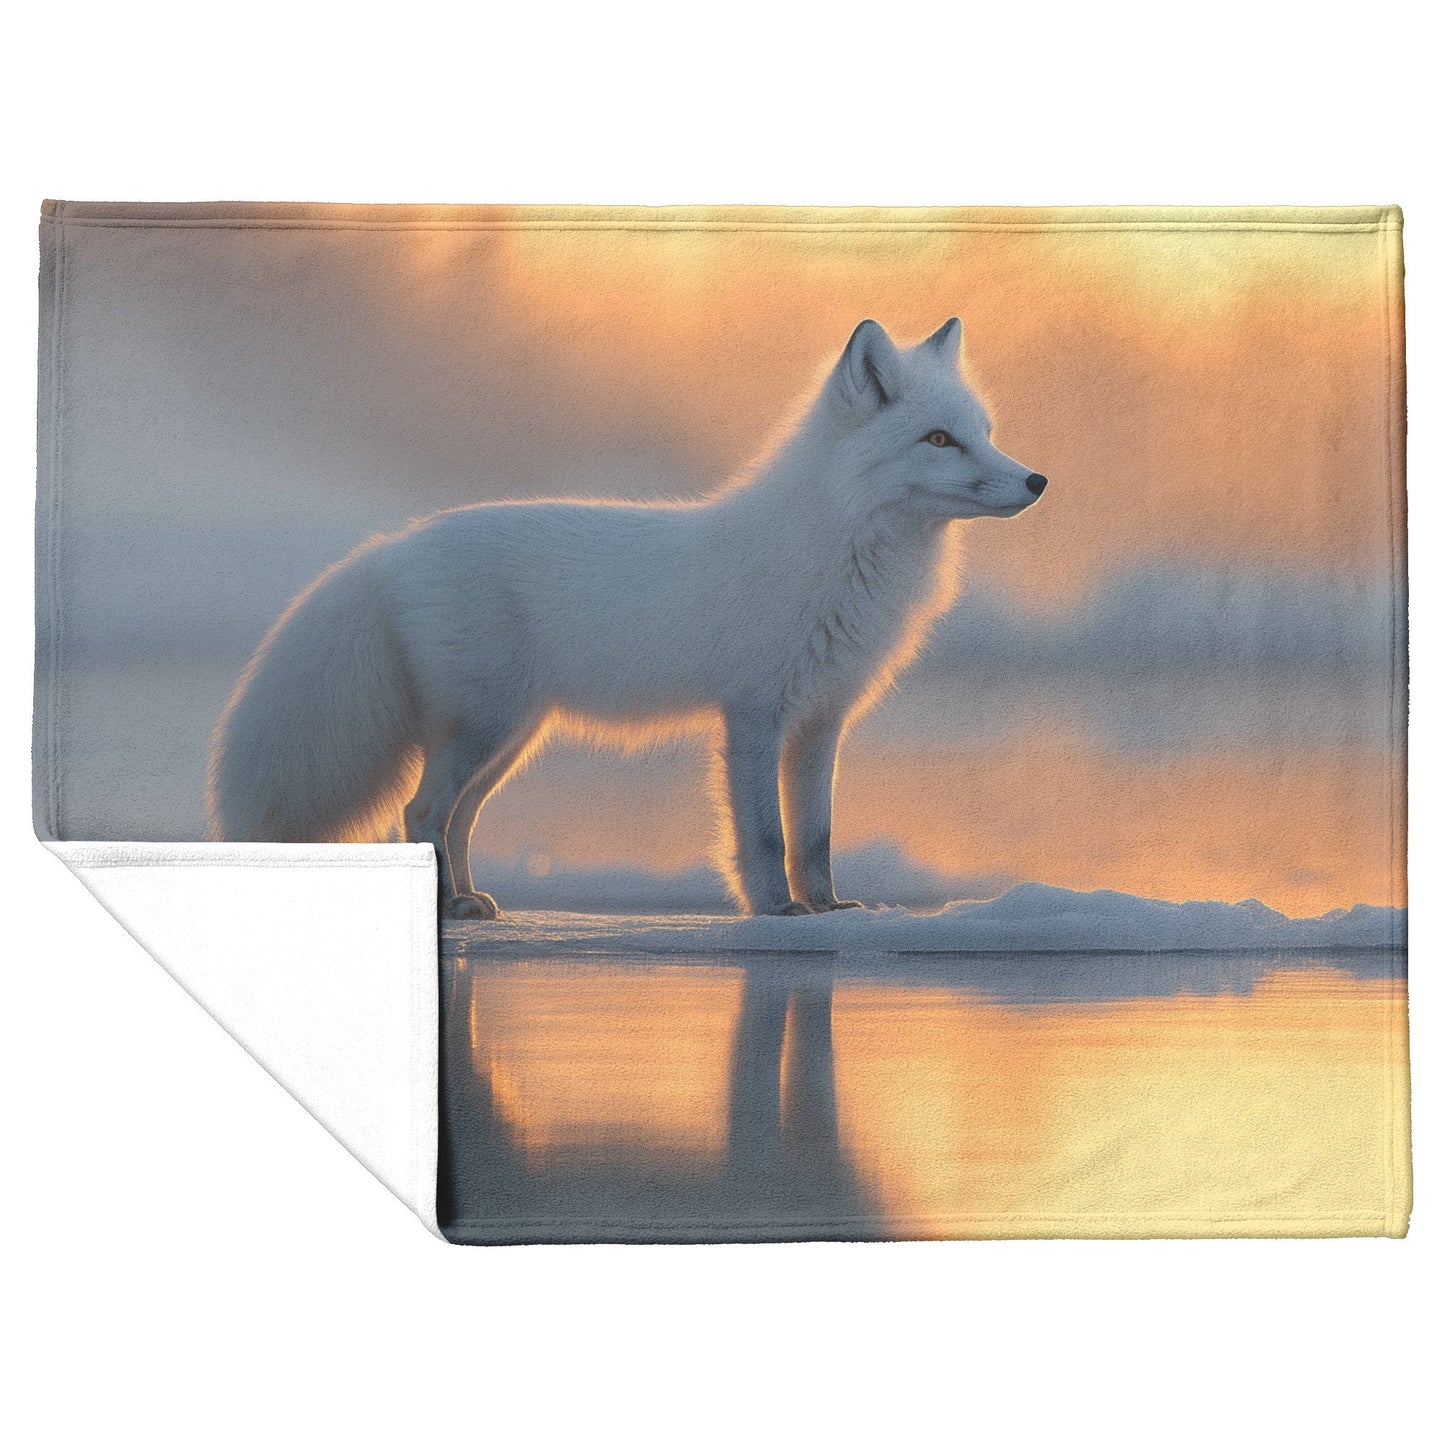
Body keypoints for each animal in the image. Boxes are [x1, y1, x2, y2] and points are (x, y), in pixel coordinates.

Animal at [208, 318, 1047, 919]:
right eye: (937, 439)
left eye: (985, 431)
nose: (1036, 480)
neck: (838, 550)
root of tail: (393, 545)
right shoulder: (752, 716)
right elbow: (765, 835)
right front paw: (776, 912)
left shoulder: (820, 721)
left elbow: (815, 836)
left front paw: (830, 908)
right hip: (483, 726)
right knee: (420, 810)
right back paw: (447, 904)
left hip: (509, 738)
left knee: (458, 818)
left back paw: (470, 901)